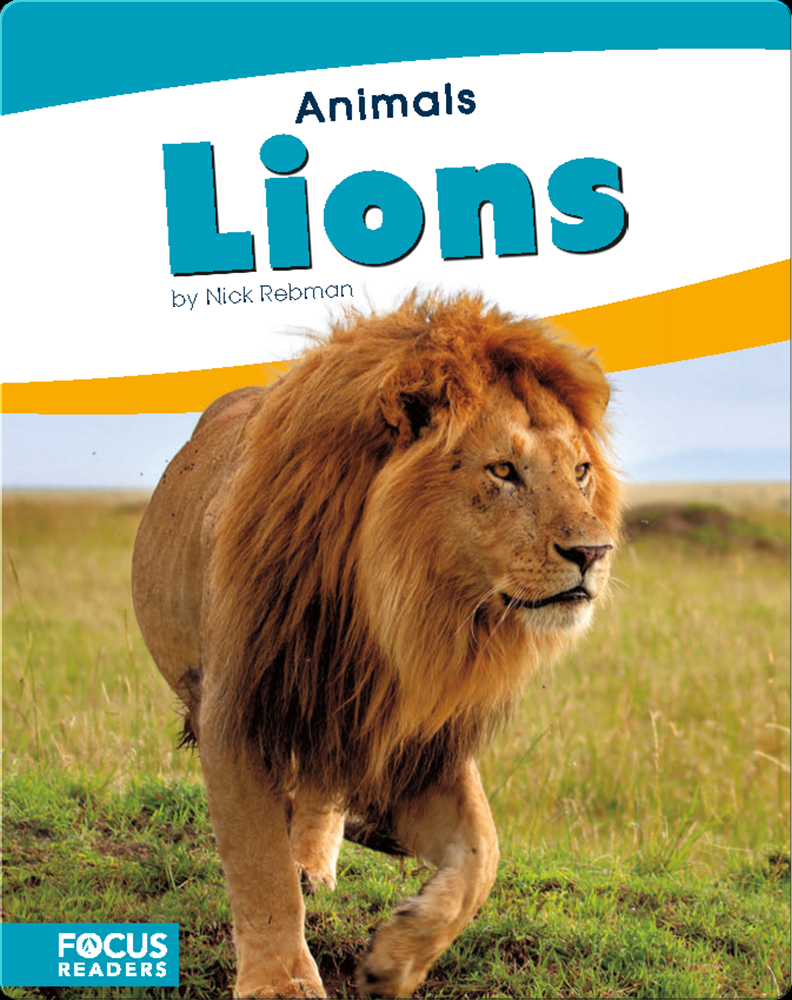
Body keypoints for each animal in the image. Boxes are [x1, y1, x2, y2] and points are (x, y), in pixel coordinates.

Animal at [132, 291, 620, 999]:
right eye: (503, 470)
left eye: (581, 471)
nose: (593, 552)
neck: (395, 613)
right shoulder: (239, 709)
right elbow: (258, 865)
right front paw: (280, 983)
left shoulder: (417, 739)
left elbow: (483, 852)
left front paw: (395, 960)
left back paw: (321, 859)